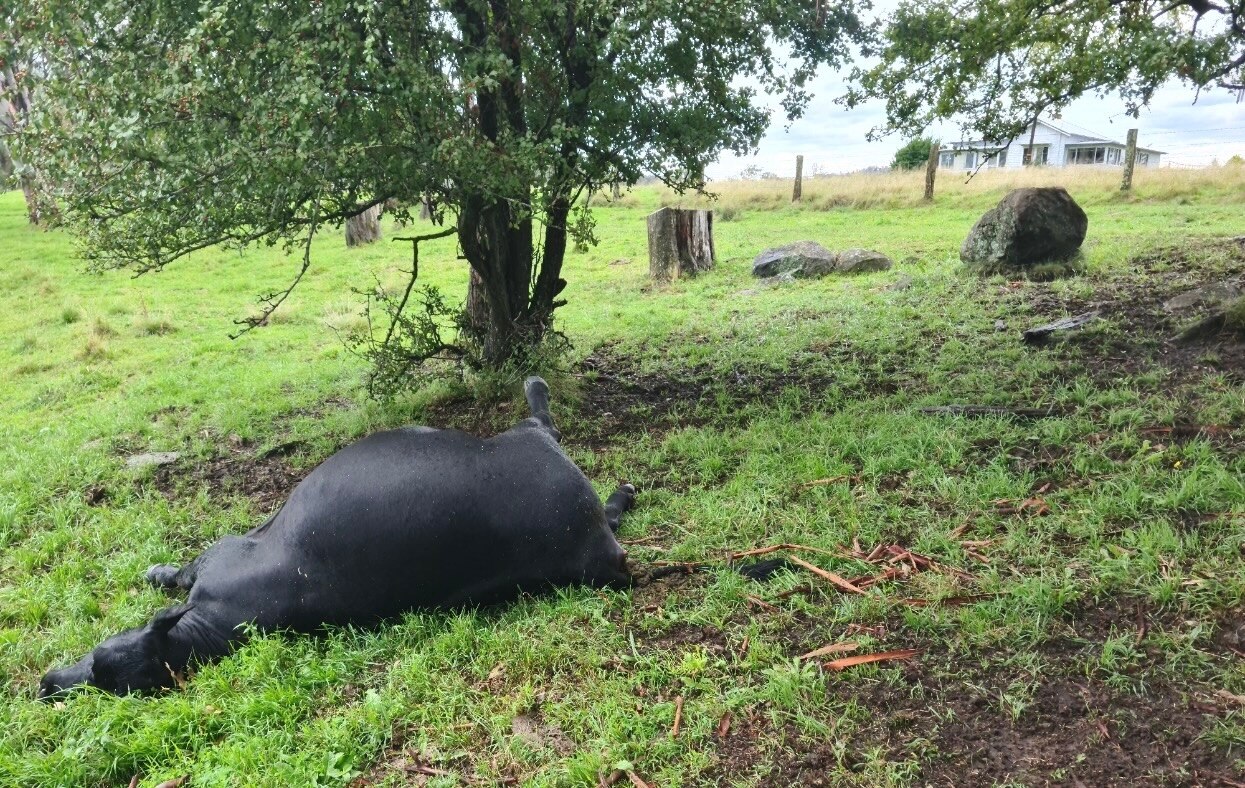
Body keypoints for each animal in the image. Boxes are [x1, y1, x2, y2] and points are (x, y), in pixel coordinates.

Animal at [39, 376, 637, 699]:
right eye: (100, 676)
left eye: (99, 660)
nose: (46, 684)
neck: (204, 630)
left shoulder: (219, 551)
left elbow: (178, 570)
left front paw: (156, 572)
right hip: (577, 521)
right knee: (605, 507)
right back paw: (622, 494)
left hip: (530, 438)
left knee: (544, 415)